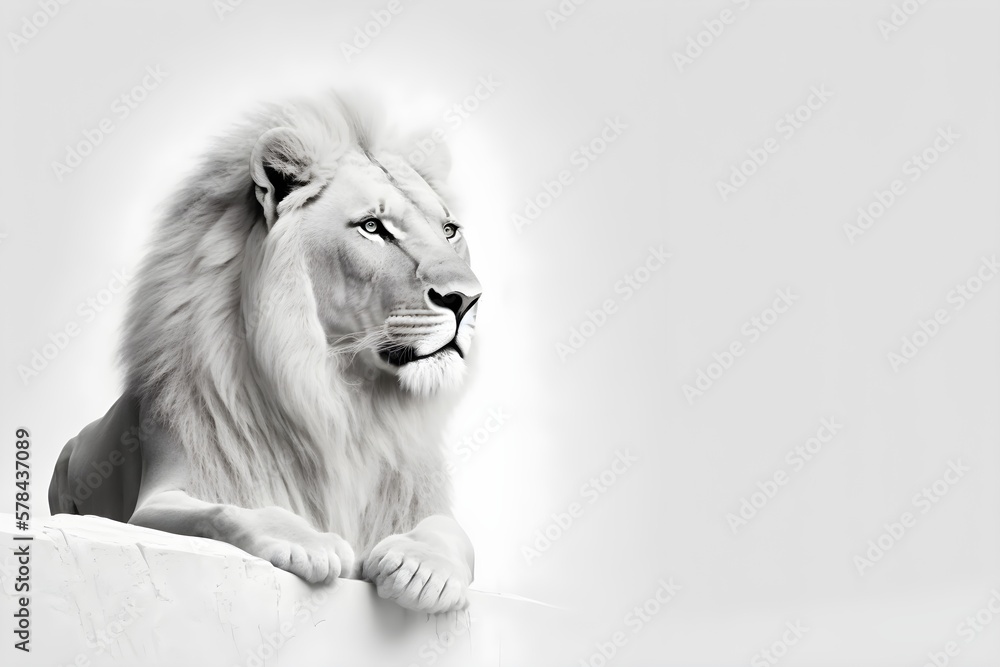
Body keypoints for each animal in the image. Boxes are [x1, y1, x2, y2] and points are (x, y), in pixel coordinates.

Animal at [47, 91, 482, 614]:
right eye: (373, 227)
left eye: (450, 230)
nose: (468, 299)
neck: (348, 402)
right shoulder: (158, 499)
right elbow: (229, 510)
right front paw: (311, 542)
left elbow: (452, 531)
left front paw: (421, 570)